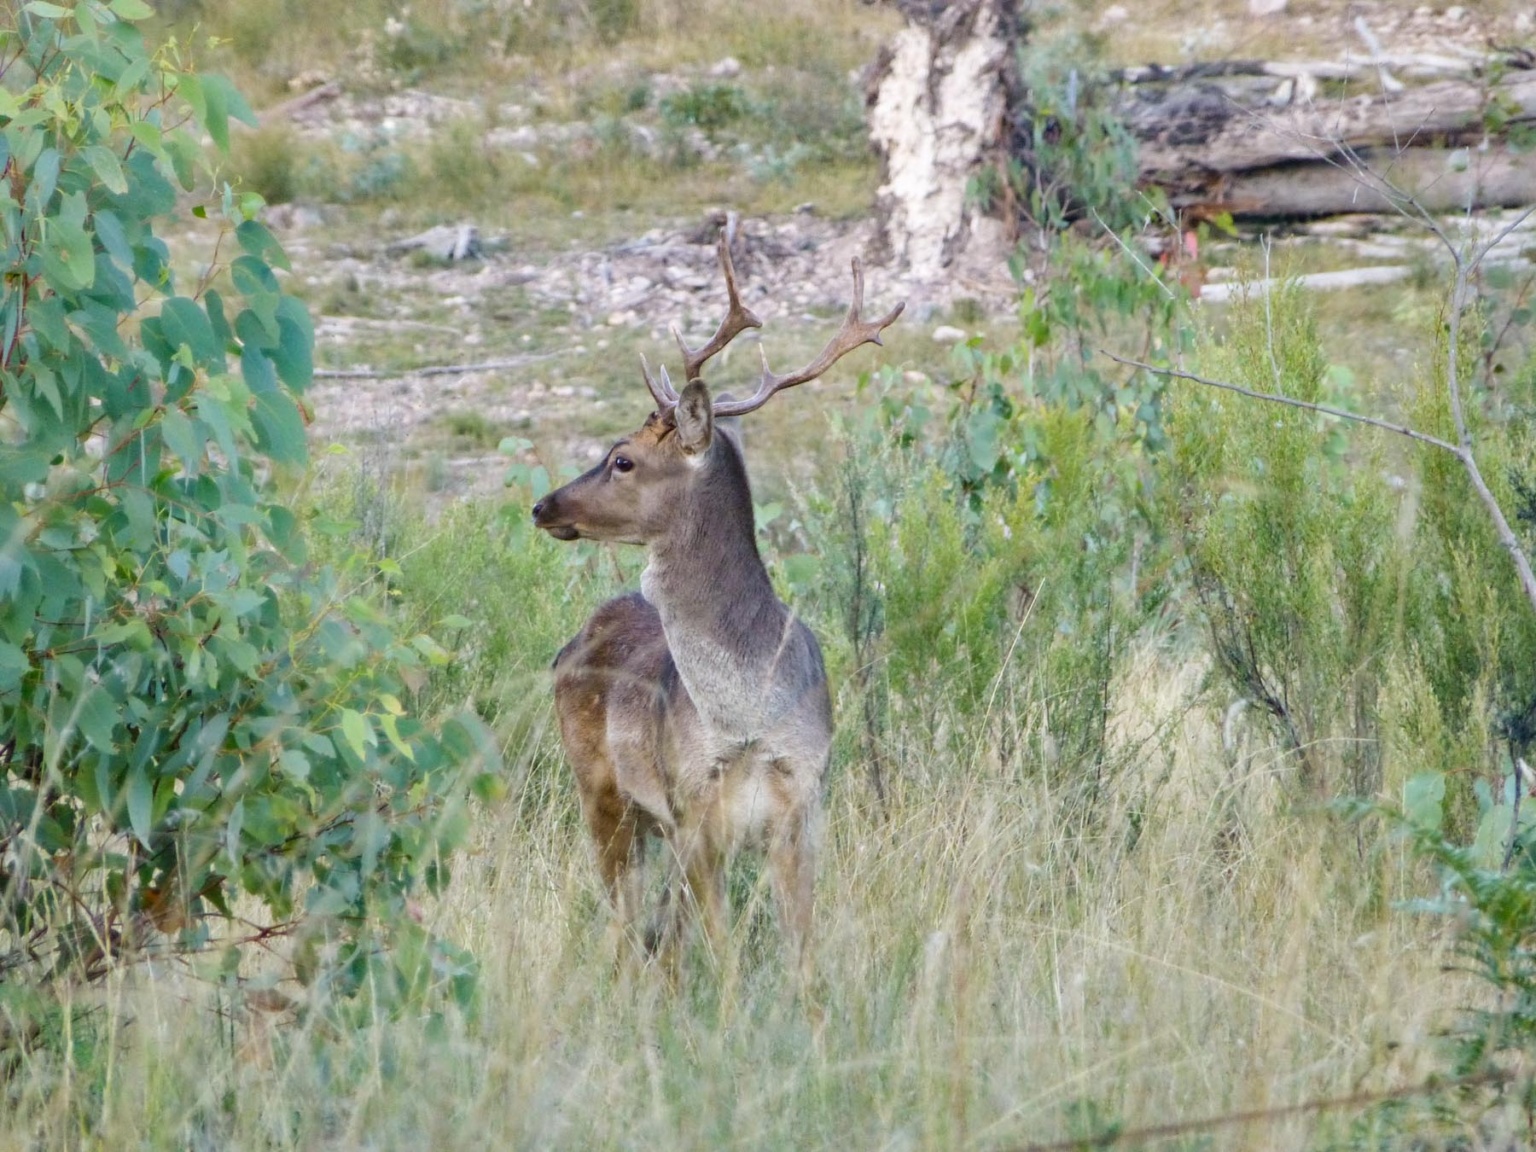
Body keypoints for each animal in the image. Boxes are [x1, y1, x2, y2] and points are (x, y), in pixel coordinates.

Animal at [531, 229, 903, 982]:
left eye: (622, 459)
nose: (543, 505)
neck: (748, 725)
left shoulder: (803, 809)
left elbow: (800, 954)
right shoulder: (693, 809)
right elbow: (725, 955)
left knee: (655, 937)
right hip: (602, 792)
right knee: (625, 929)